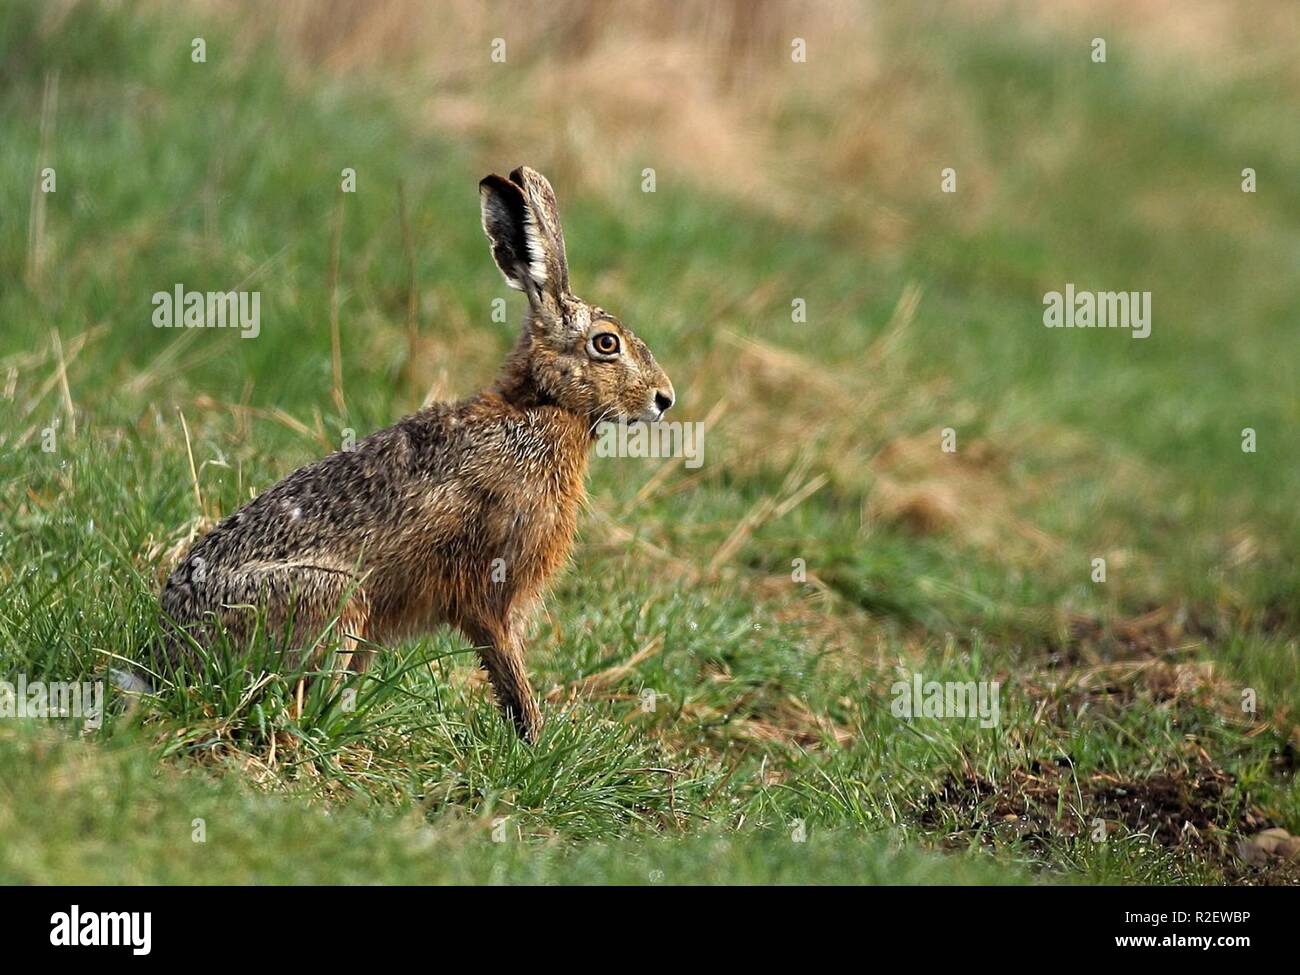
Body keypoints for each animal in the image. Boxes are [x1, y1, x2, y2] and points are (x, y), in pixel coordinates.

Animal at [156, 166, 675, 743]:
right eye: (606, 344)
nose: (665, 399)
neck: (540, 407)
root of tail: (167, 655)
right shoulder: (489, 584)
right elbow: (505, 662)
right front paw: (533, 737)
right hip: (331, 598)